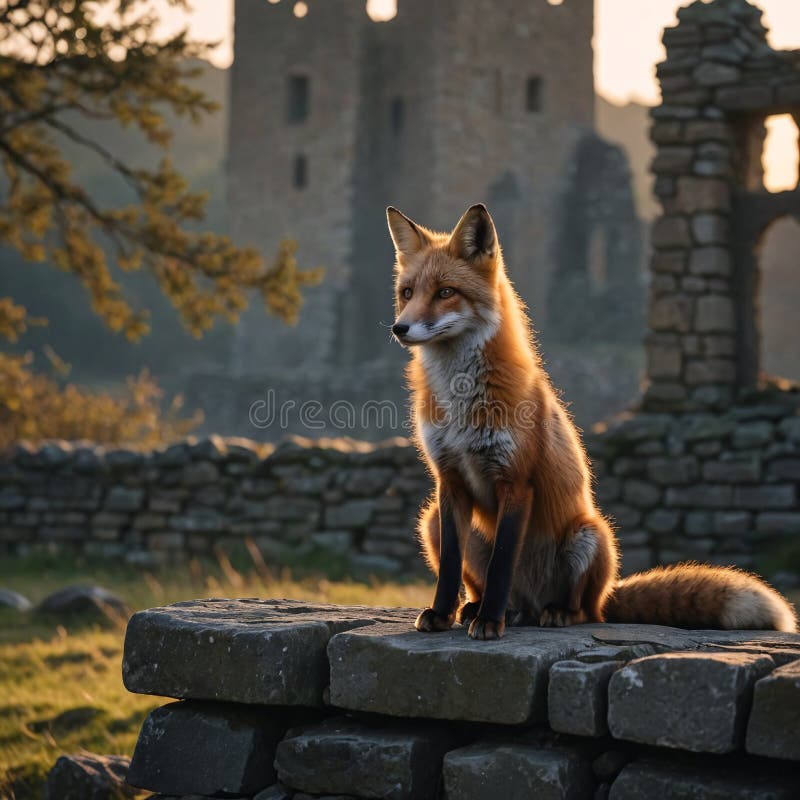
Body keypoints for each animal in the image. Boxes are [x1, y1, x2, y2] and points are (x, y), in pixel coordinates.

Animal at [386, 202, 797, 640]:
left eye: (446, 292)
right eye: (407, 293)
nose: (400, 328)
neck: (461, 402)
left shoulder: (516, 481)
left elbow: (501, 565)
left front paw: (491, 624)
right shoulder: (449, 480)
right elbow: (450, 566)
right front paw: (441, 613)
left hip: (591, 535)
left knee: (583, 610)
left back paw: (547, 613)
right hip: (430, 519)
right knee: (484, 585)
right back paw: (478, 609)